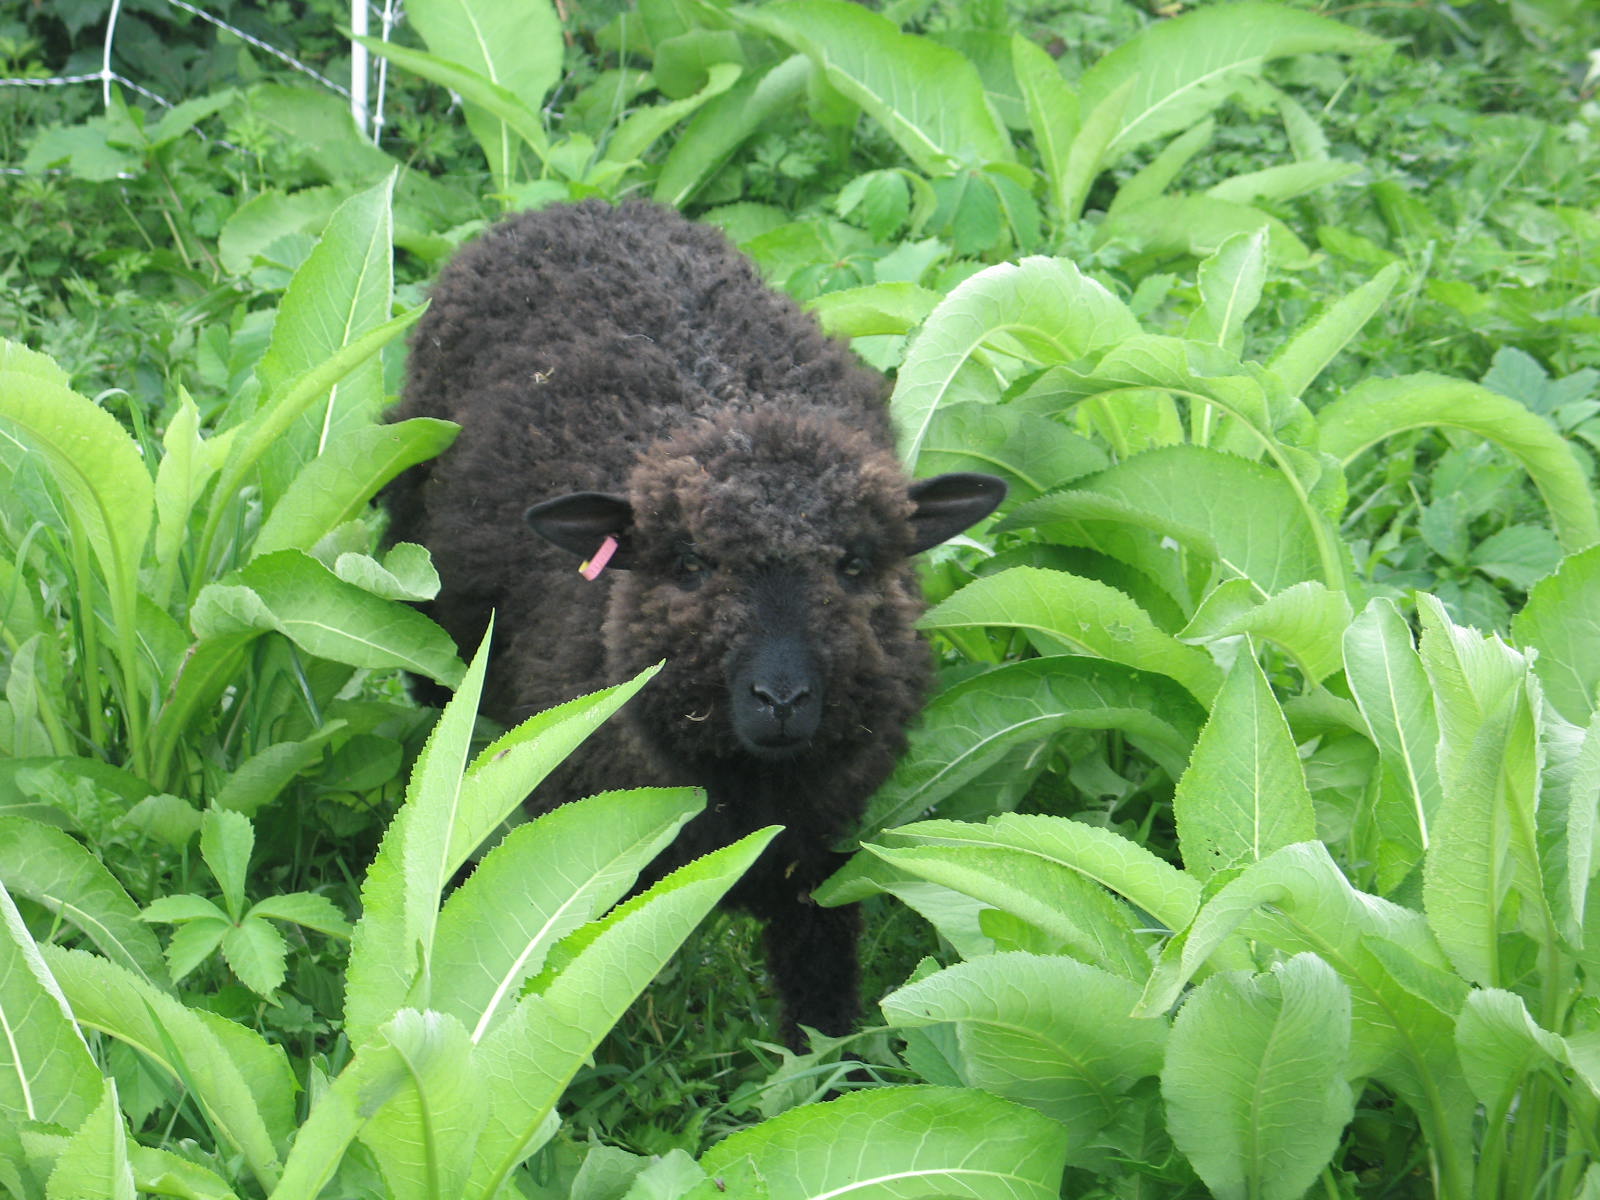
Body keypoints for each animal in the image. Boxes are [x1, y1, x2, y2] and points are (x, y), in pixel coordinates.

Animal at [384, 199, 1005, 1045]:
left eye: (855, 564)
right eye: (687, 563)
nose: (781, 700)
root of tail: (576, 206)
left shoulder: (816, 850)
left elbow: (821, 977)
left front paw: (834, 1062)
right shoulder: (585, 843)